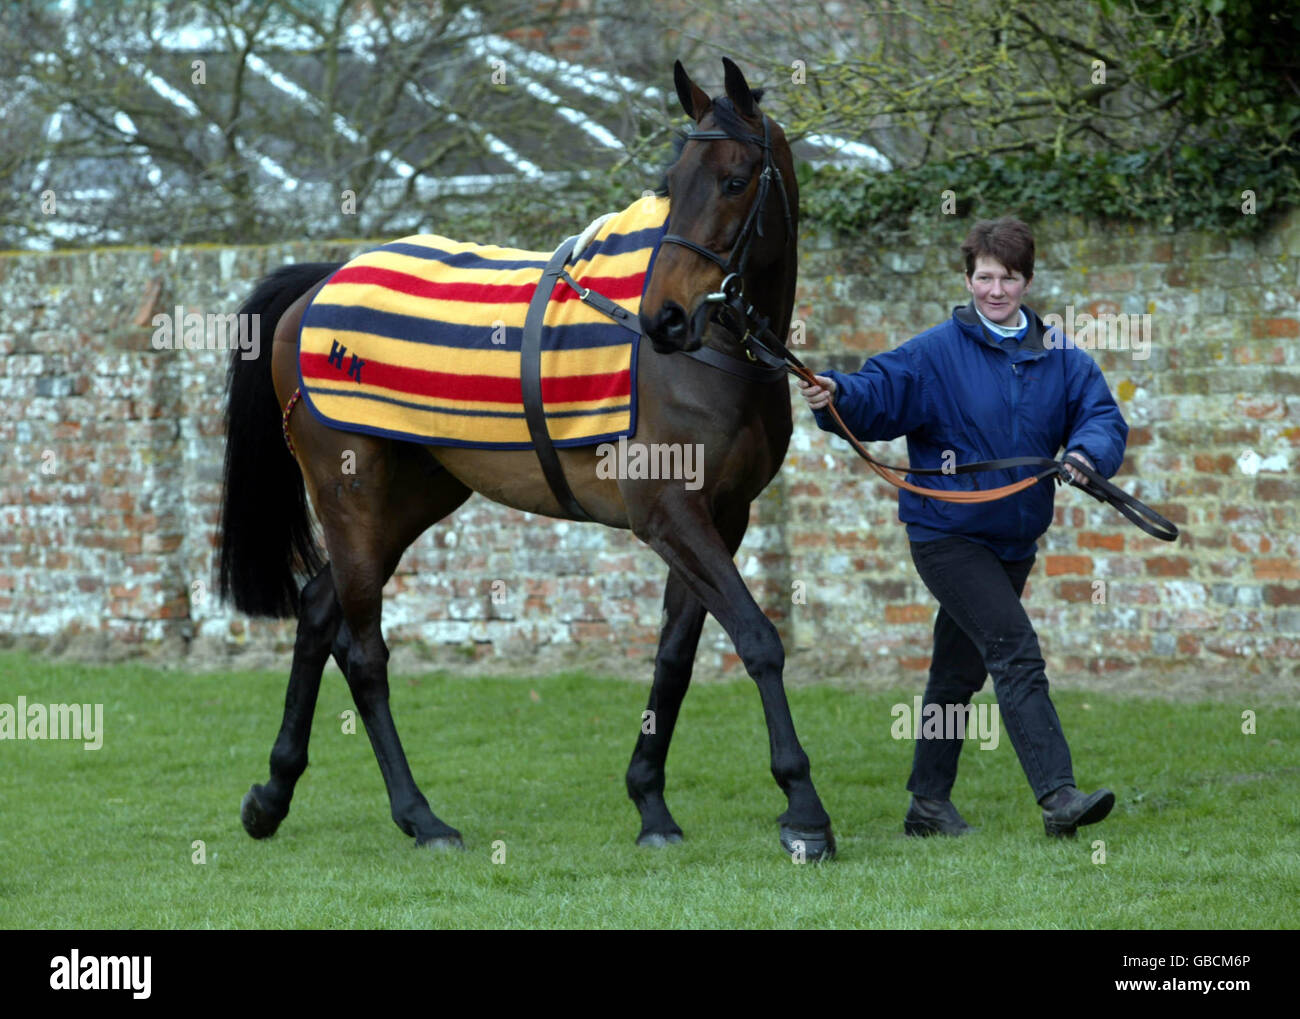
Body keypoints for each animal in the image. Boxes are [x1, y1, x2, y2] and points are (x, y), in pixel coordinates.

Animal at [217, 58, 835, 860]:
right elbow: (758, 640)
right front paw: (804, 808)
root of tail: (321, 284)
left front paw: (651, 803)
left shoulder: (721, 518)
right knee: (363, 653)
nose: (664, 319)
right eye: (671, 182)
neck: (714, 358)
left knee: (320, 609)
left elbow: (675, 656)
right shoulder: (671, 515)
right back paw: (420, 816)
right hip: (350, 493)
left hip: (415, 496)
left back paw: (273, 794)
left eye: (734, 180)